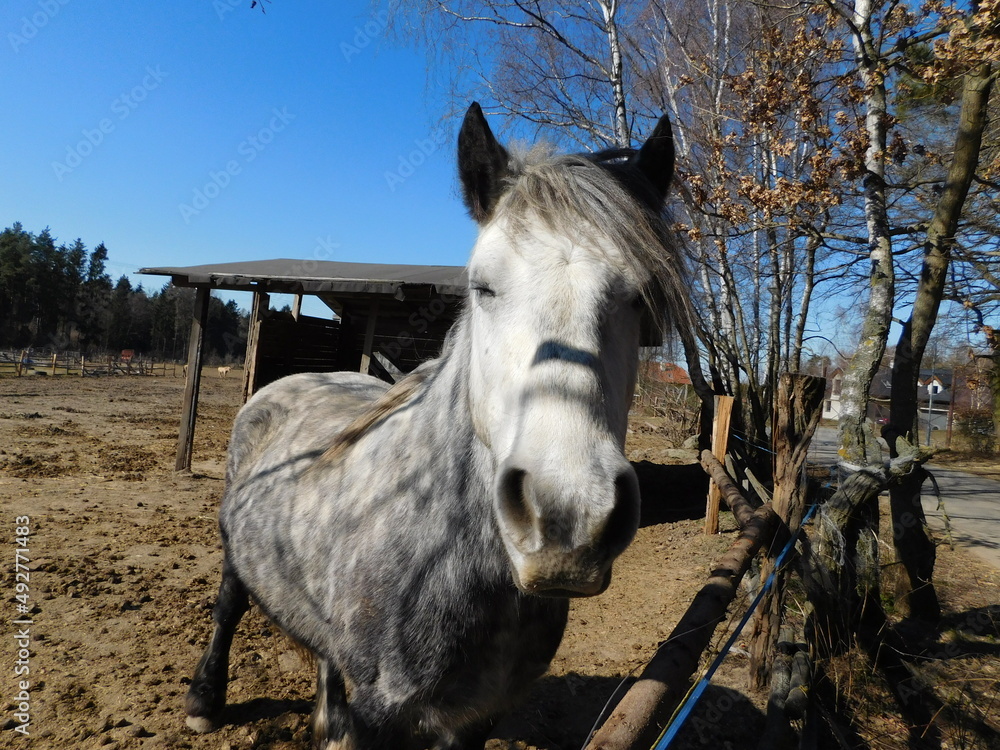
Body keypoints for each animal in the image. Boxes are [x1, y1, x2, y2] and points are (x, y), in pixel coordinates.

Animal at [184, 102, 686, 749]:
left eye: (642, 297)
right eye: (482, 286)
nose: (568, 516)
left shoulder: (480, 716)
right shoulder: (378, 715)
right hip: (233, 549)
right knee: (229, 604)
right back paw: (205, 699)